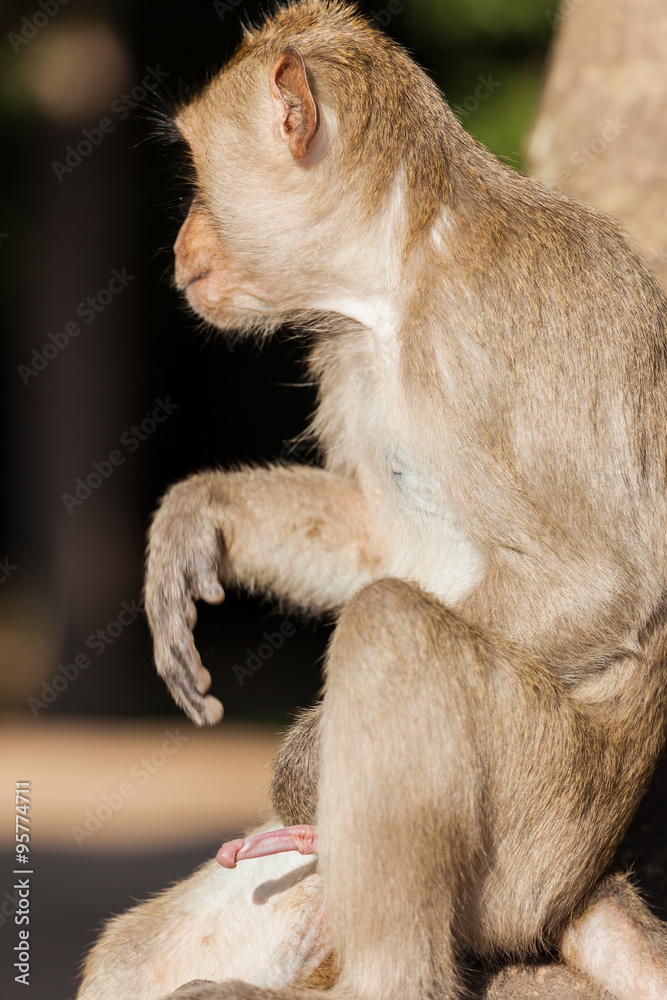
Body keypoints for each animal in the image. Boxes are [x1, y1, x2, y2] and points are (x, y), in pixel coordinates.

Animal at [76, 2, 667, 999]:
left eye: (197, 175)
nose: (180, 248)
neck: (400, 278)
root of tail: (584, 886)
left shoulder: (493, 318)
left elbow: (605, 577)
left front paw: (305, 760)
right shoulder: (346, 353)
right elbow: (375, 539)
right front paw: (201, 515)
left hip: (536, 835)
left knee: (394, 627)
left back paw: (383, 979)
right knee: (132, 959)